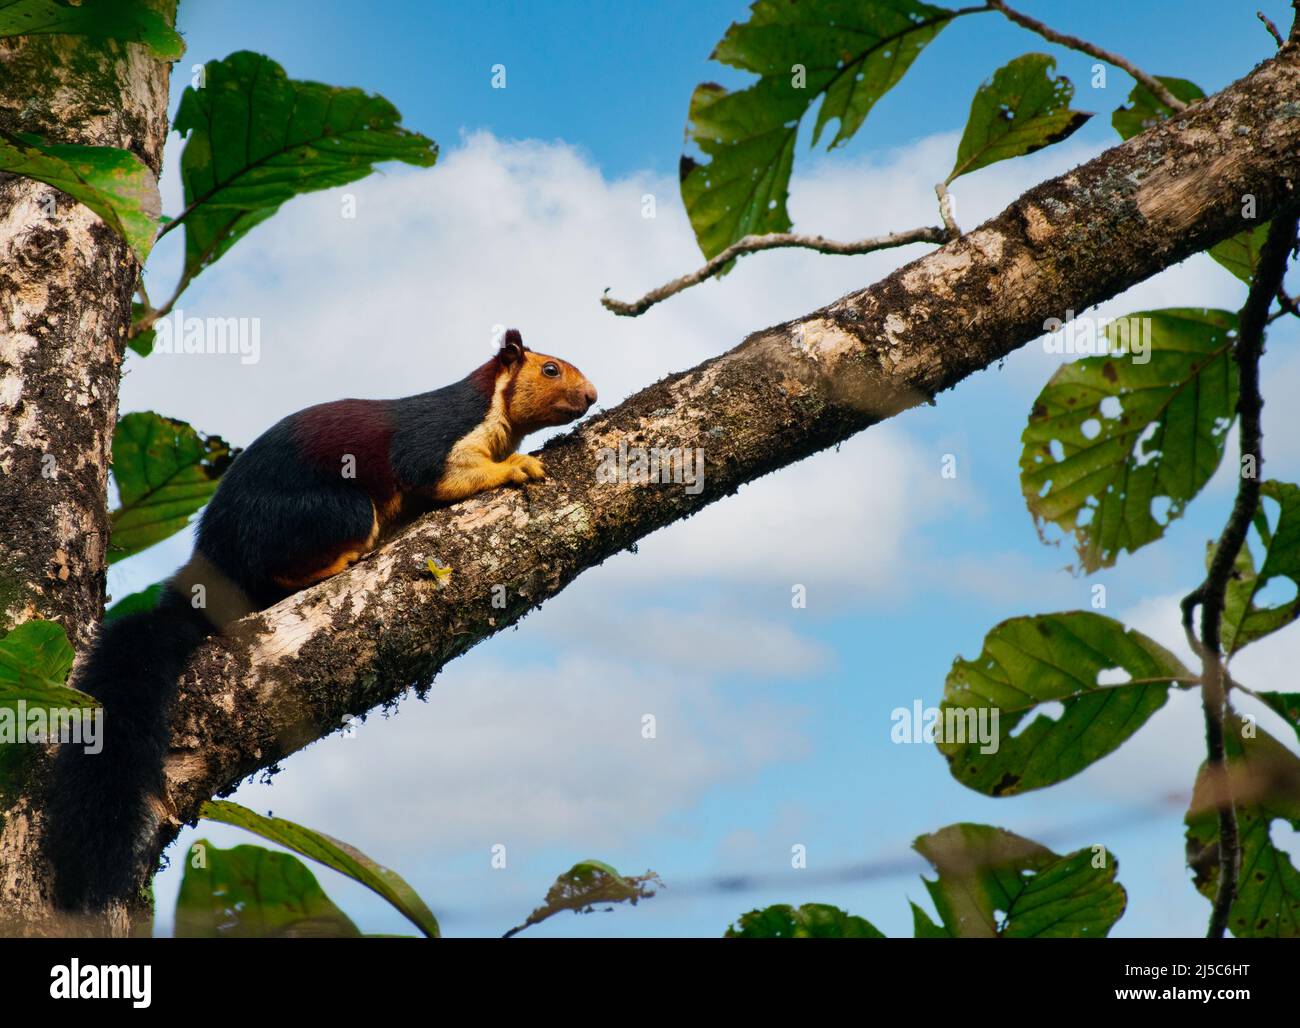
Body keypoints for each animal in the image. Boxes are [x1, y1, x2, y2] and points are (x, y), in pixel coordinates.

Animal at [45, 329, 596, 910]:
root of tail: (214, 562)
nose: (592, 395)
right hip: (324, 514)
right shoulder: (439, 435)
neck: (494, 408)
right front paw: (517, 468)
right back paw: (341, 561)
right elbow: (438, 474)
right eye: (551, 368)